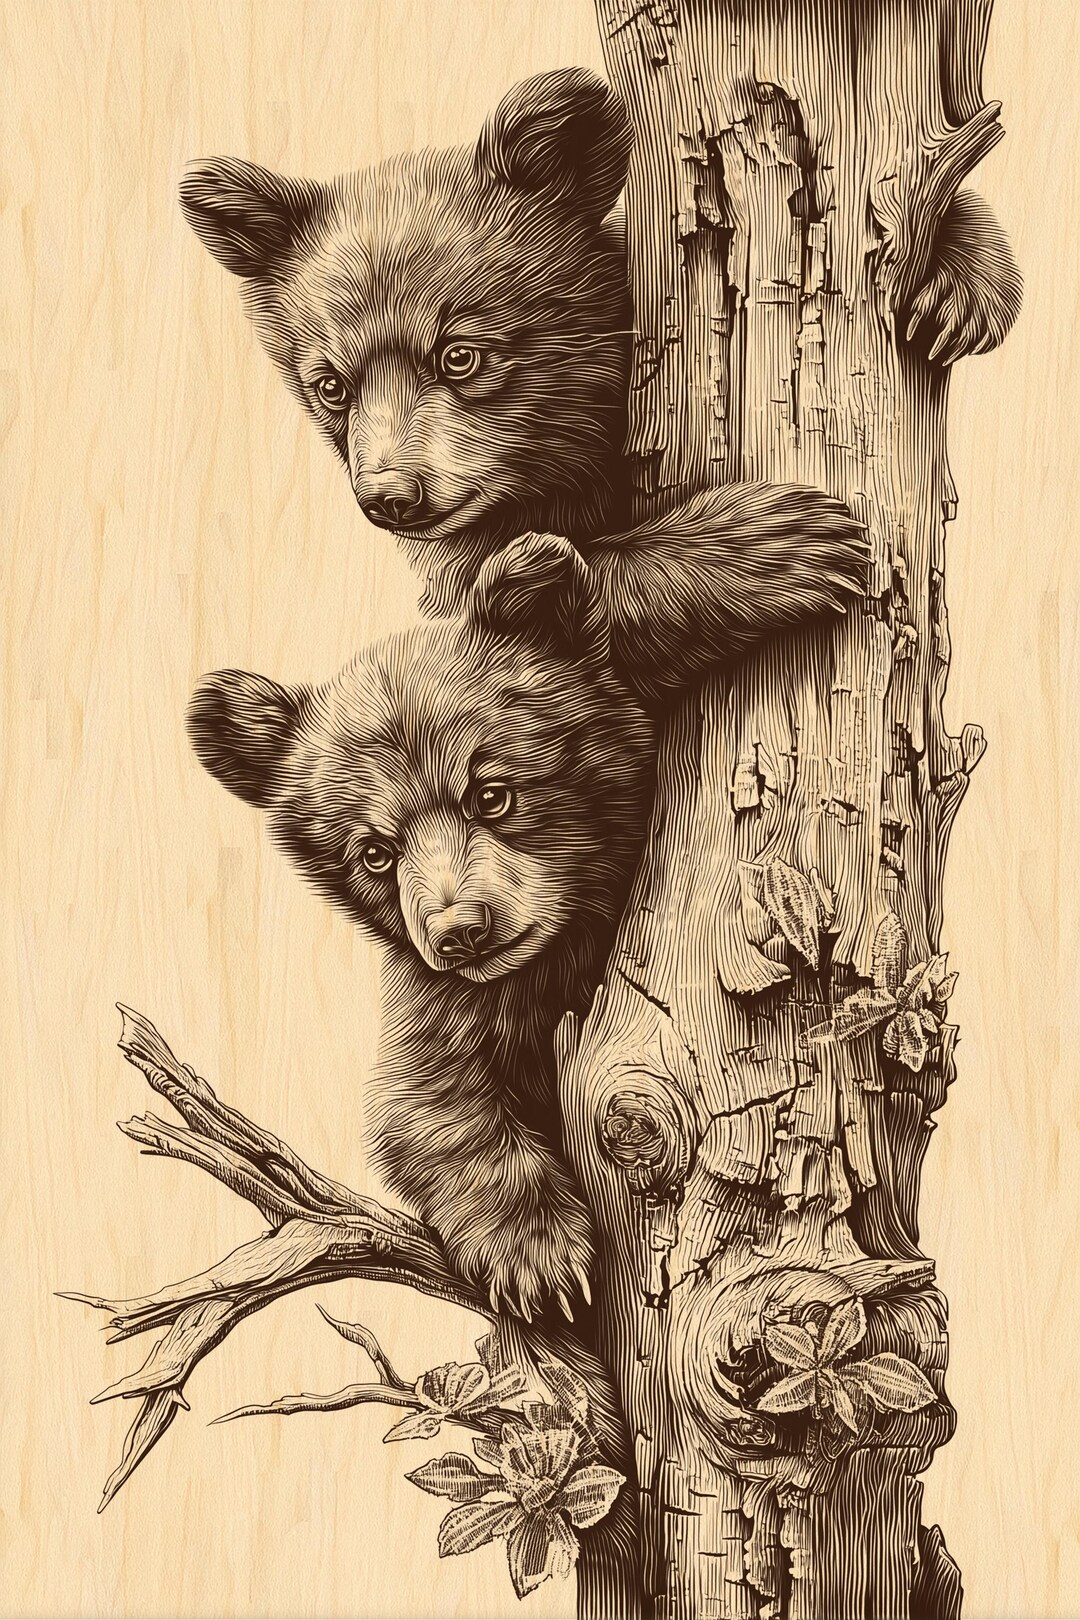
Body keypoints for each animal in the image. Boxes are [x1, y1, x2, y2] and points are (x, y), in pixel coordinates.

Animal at [188, 535, 660, 1321]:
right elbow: (426, 1101)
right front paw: (539, 1258)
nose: (461, 931)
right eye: (375, 850)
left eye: (492, 795)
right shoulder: (440, 998)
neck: (553, 958)